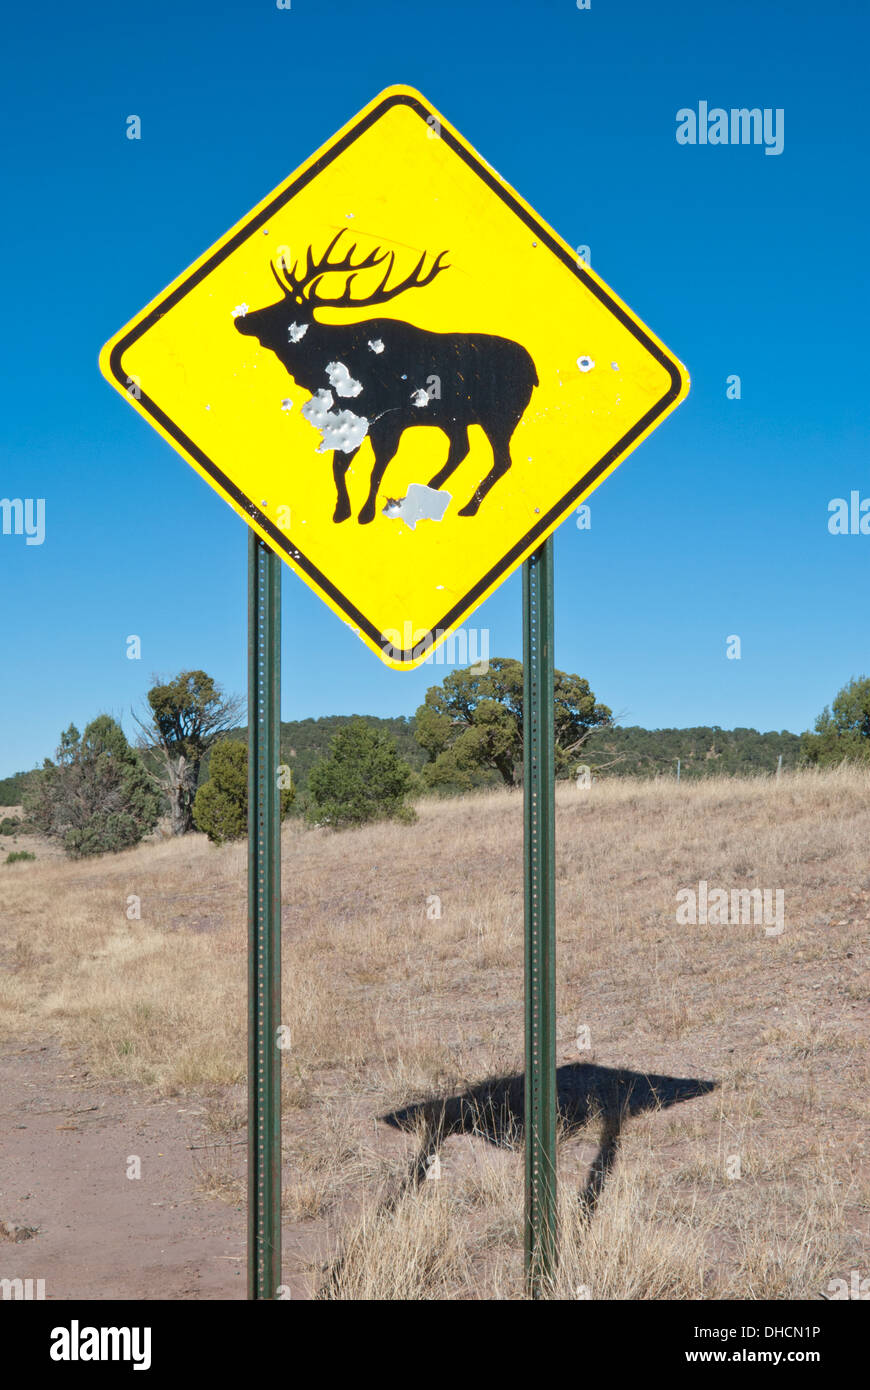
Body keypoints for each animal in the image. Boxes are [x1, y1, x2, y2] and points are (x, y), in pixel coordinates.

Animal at [234, 230, 538, 524]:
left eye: (281, 313)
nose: (241, 319)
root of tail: (535, 372)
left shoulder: (390, 421)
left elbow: (375, 469)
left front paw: (365, 514)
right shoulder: (354, 418)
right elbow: (339, 466)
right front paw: (341, 512)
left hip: (502, 414)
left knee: (502, 459)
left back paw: (466, 507)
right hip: (454, 418)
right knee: (461, 449)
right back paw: (428, 493)